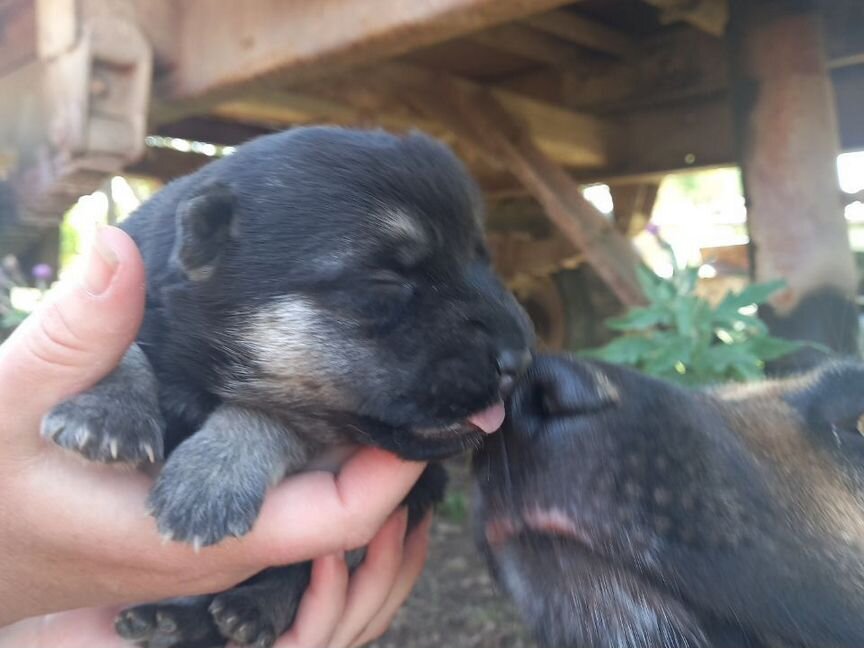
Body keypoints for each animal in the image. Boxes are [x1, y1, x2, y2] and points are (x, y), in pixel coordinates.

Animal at [47, 128, 536, 648]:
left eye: (481, 260)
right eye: (385, 281)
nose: (521, 358)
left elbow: (266, 414)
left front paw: (211, 477)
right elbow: (127, 342)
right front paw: (106, 414)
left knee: (295, 573)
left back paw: (244, 609)